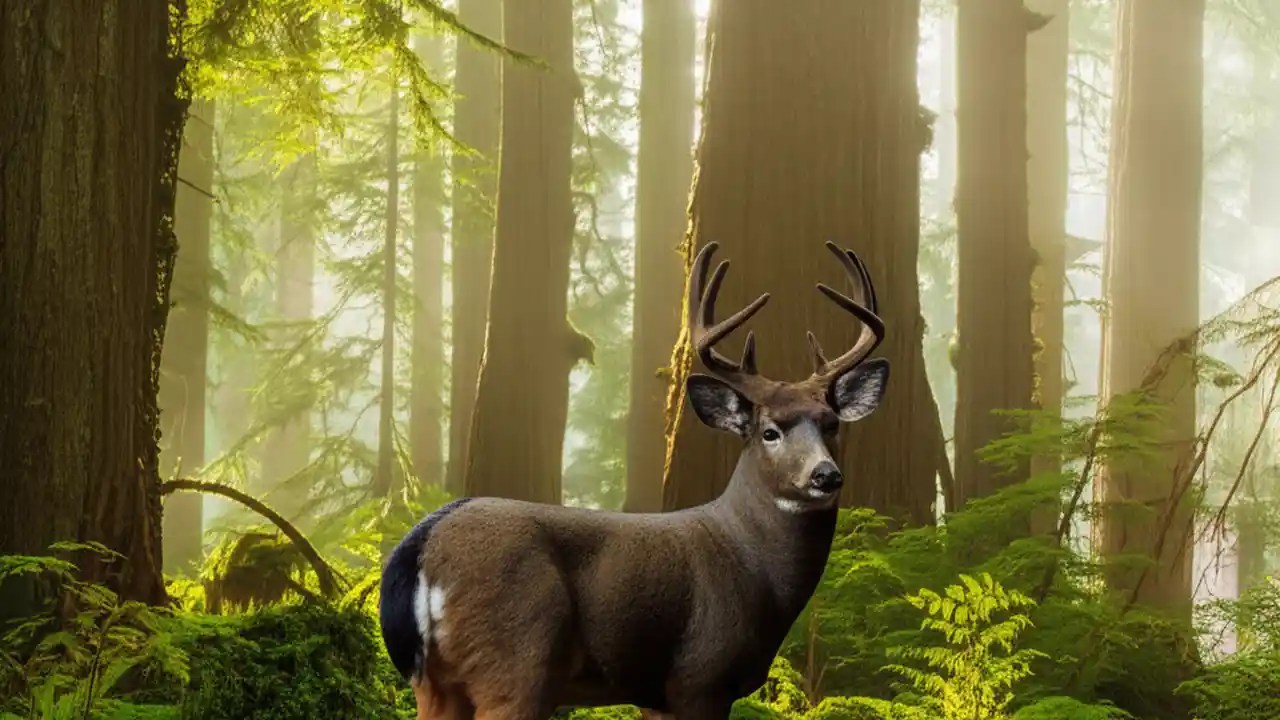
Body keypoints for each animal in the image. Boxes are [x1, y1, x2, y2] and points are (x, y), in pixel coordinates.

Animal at [379, 241, 889, 720]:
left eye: (831, 424)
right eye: (770, 432)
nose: (825, 475)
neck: (752, 563)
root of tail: (422, 543)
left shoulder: (655, 696)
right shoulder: (701, 676)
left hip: (436, 683)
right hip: (515, 661)